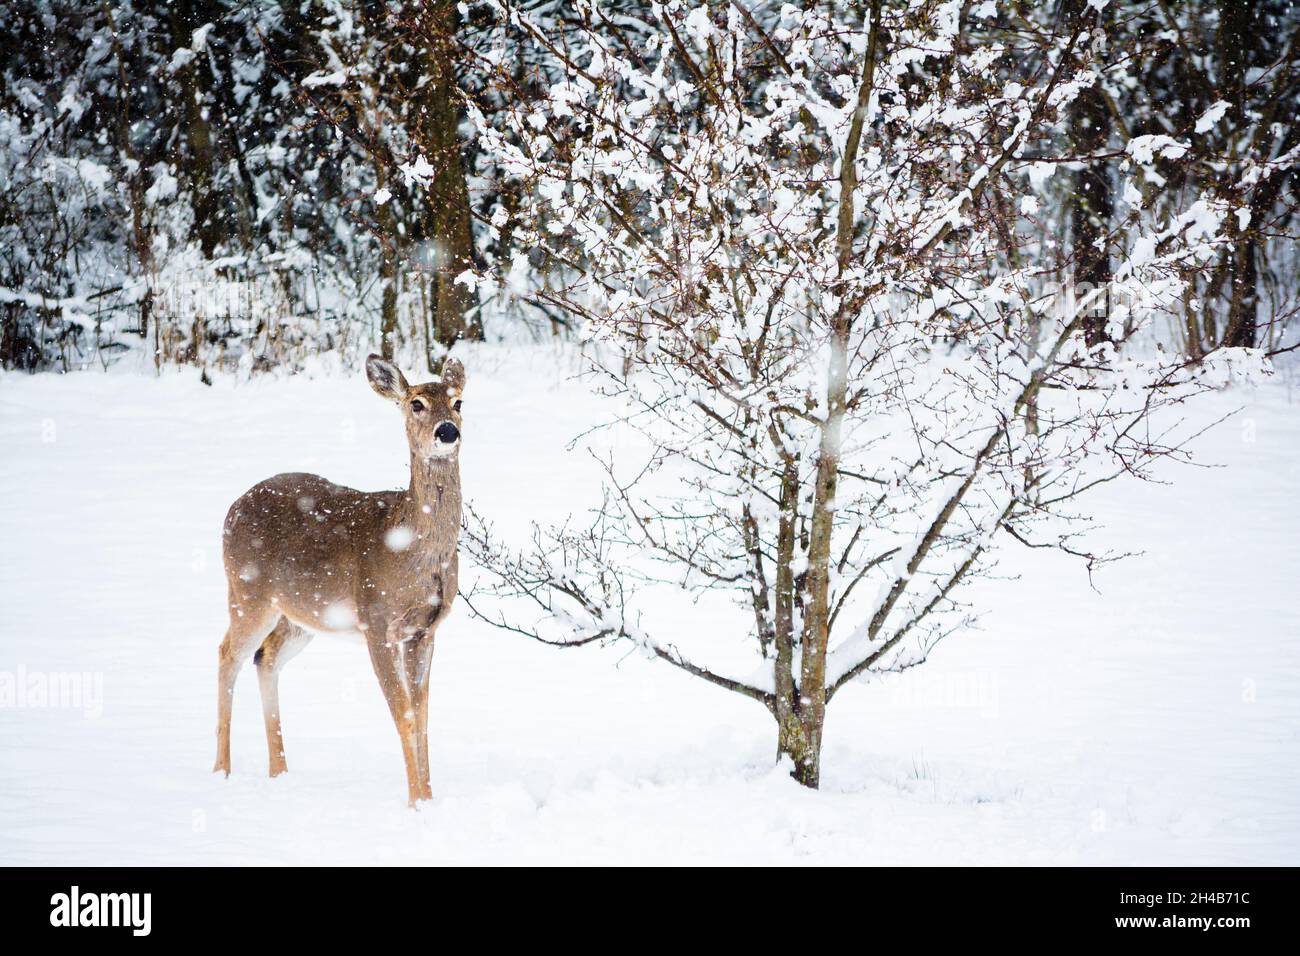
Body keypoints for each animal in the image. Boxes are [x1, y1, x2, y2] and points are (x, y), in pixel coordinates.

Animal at [214, 354, 465, 806]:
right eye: (416, 403)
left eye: (459, 402)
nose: (448, 431)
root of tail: (232, 508)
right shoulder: (376, 621)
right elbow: (403, 714)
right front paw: (416, 803)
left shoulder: (425, 630)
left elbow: (422, 715)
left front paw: (429, 798)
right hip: (247, 591)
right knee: (227, 654)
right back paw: (221, 770)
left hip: (300, 614)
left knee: (265, 656)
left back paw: (280, 772)